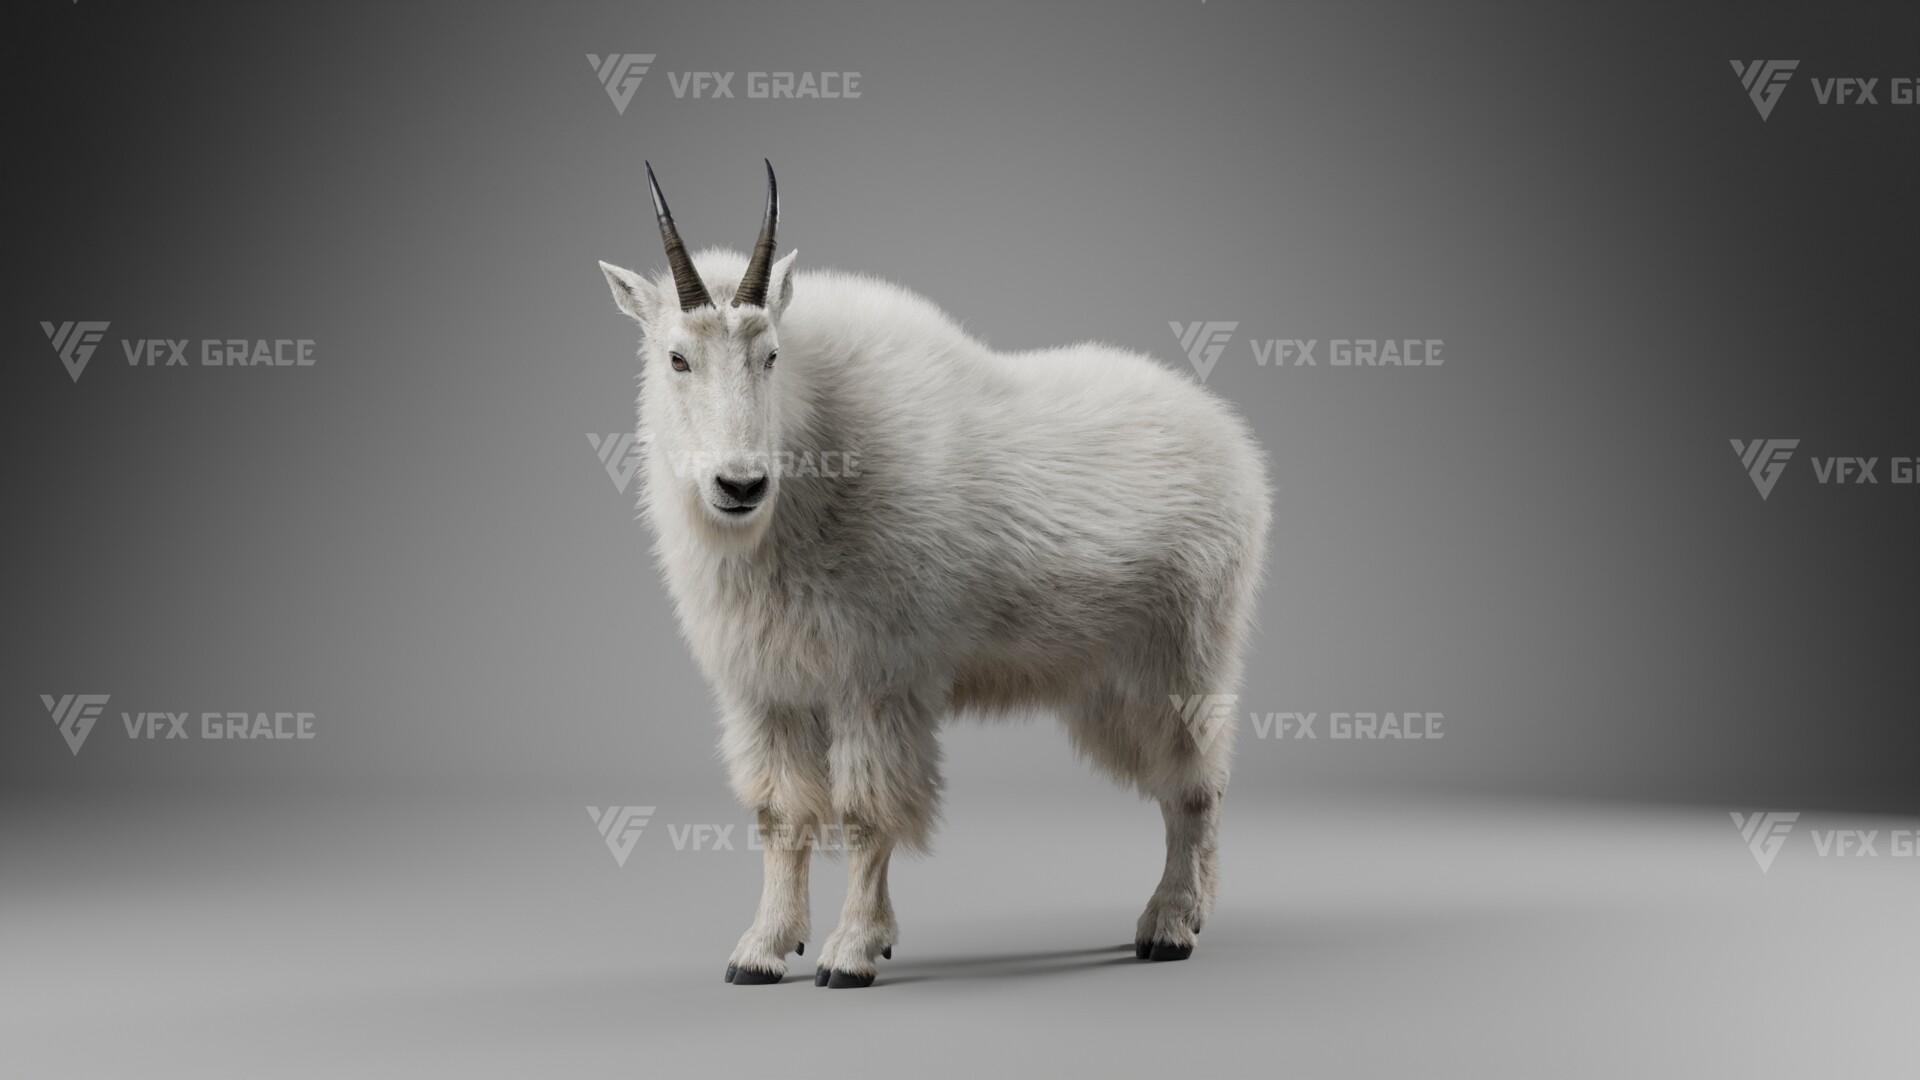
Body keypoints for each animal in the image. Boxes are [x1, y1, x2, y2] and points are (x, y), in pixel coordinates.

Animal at [598, 161, 1270, 987]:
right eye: (676, 357)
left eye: (771, 355)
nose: (740, 485)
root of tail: (1234, 441)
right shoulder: (768, 687)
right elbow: (780, 815)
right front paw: (762, 949)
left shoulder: (878, 680)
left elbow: (865, 814)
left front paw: (853, 952)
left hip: (1186, 654)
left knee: (1195, 788)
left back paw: (1171, 924)